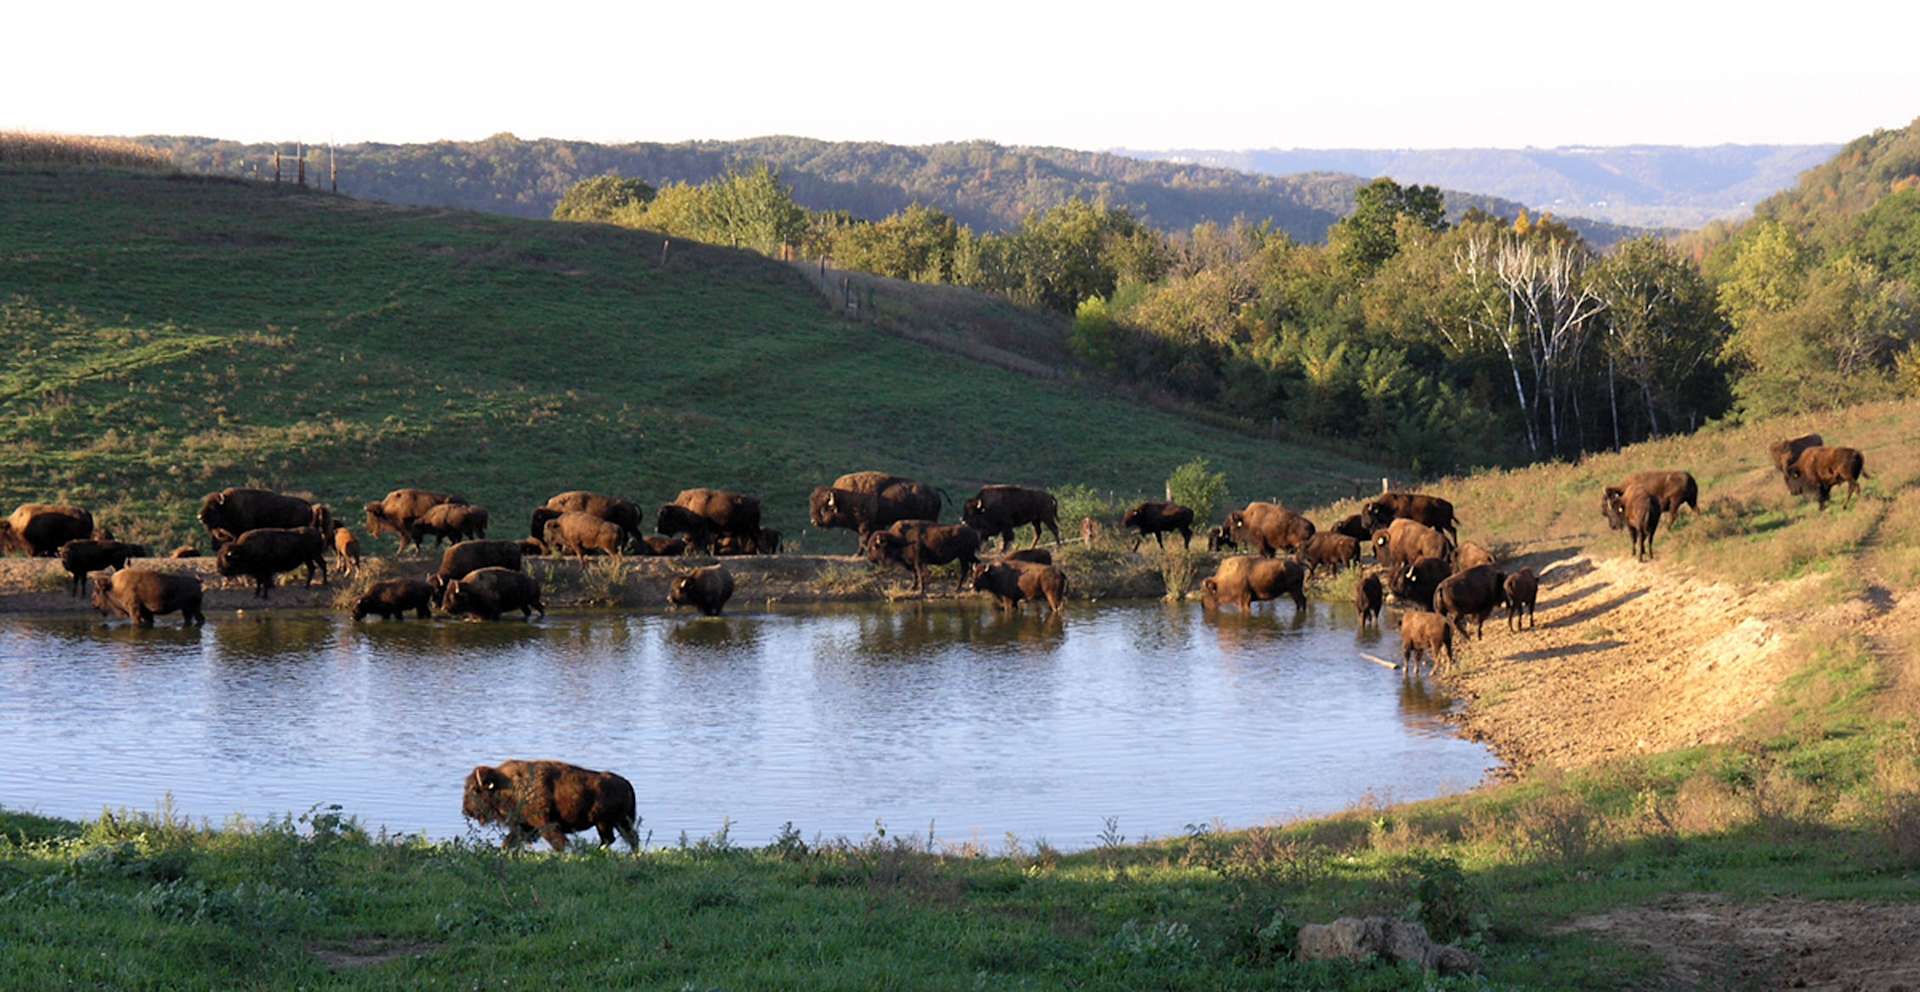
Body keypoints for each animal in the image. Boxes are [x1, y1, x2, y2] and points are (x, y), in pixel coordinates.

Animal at [462, 760, 640, 852]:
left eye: (474, 790)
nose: (466, 811)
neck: (509, 784)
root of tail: (626, 784)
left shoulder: (544, 824)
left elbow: (558, 842)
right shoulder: (524, 826)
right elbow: (509, 841)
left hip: (604, 823)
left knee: (610, 839)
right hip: (619, 822)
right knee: (628, 838)